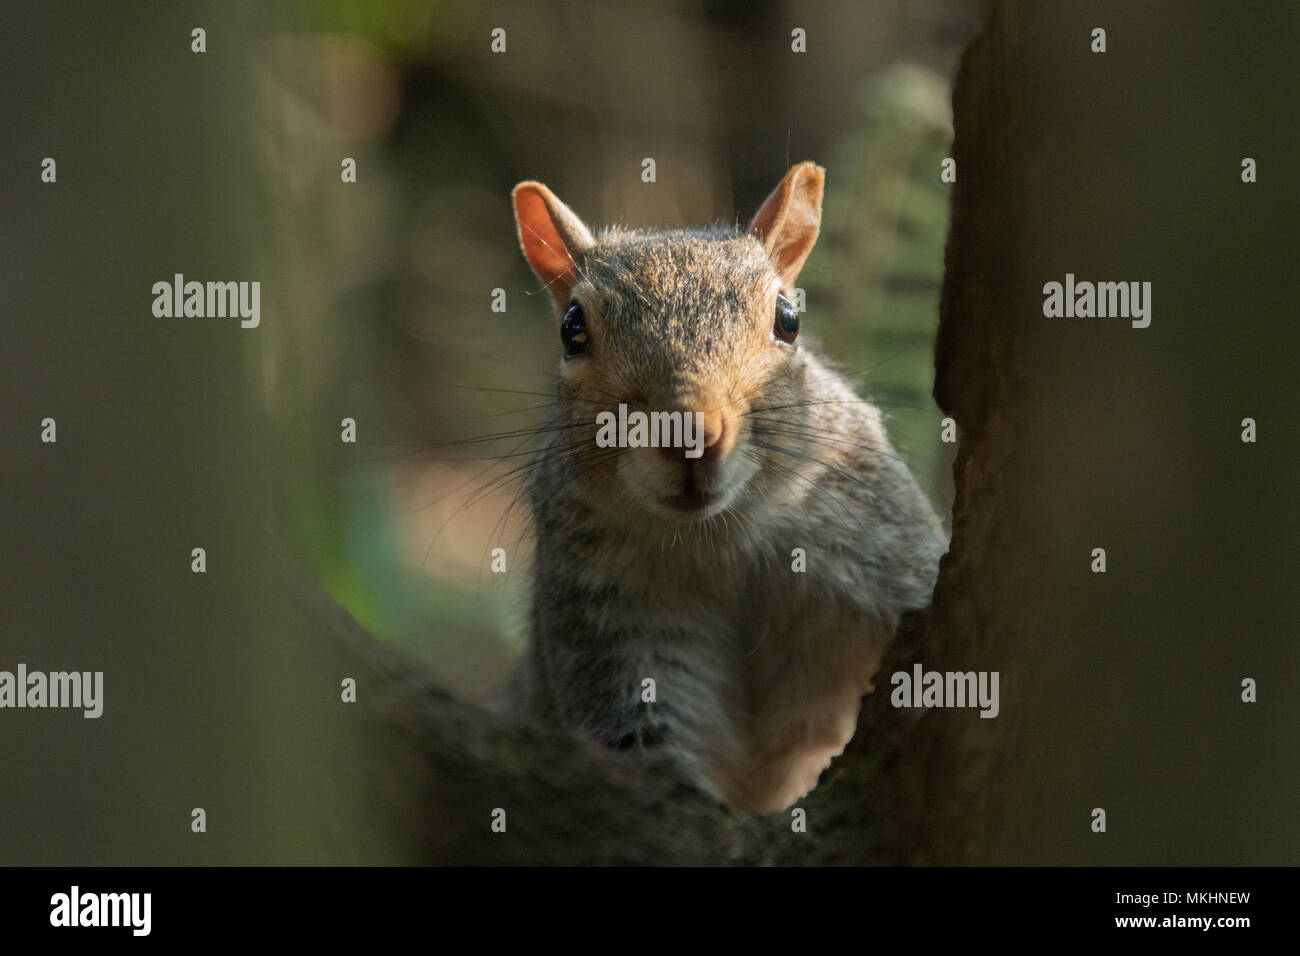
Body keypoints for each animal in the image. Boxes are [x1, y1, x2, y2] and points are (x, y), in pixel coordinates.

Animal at [496, 162, 947, 813]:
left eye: (789, 319)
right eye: (571, 329)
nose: (690, 433)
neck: (720, 535)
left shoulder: (881, 542)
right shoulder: (612, 624)